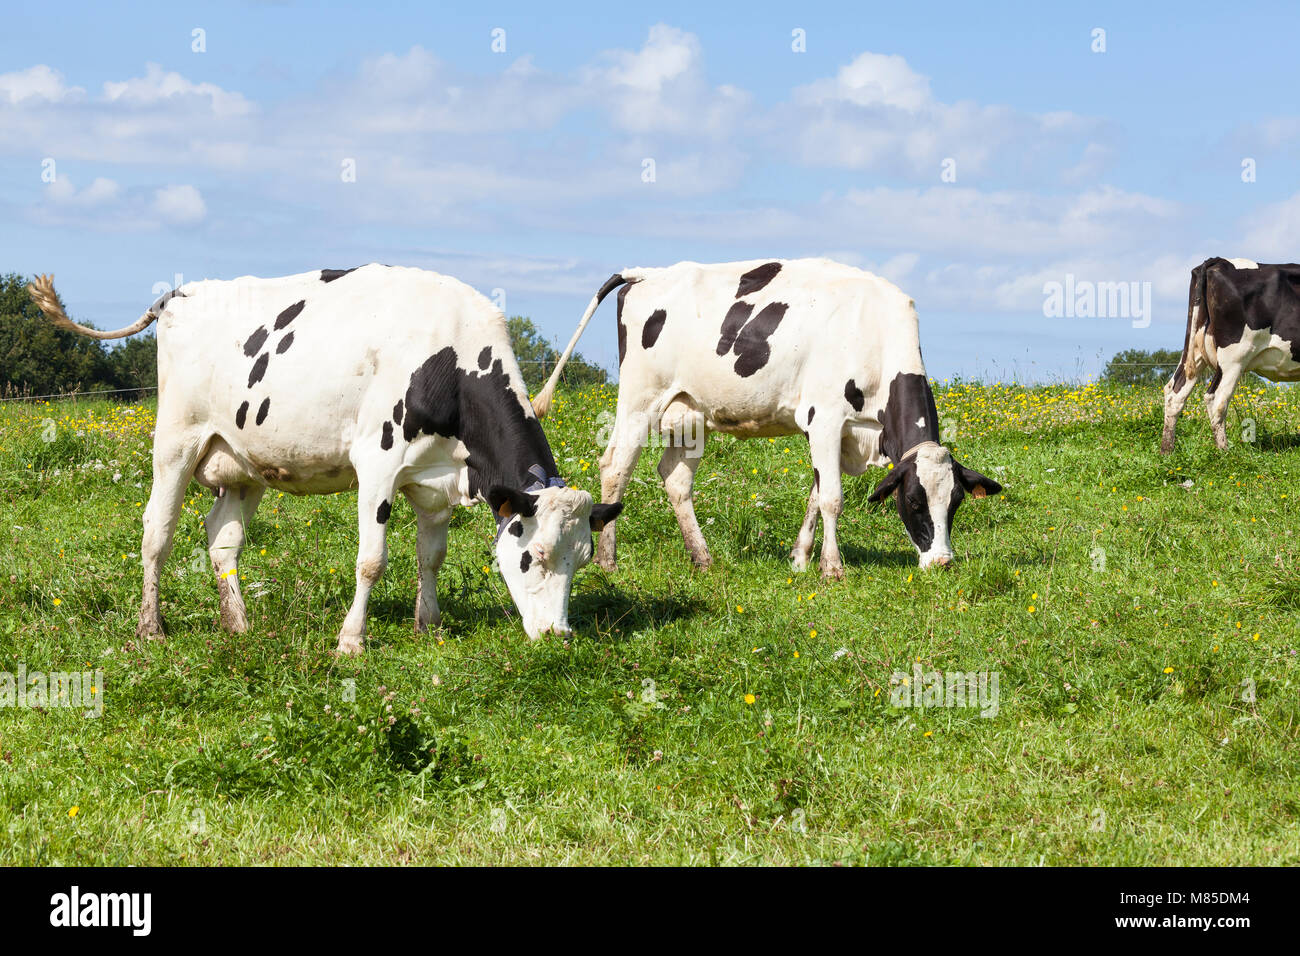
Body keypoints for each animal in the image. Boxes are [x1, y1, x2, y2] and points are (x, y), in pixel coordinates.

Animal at [27, 266, 623, 653]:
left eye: (583, 559)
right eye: (535, 556)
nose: (559, 637)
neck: (452, 360)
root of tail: (179, 294)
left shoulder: (437, 481)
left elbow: (431, 555)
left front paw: (428, 625)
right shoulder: (379, 464)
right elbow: (372, 559)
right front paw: (351, 640)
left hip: (243, 463)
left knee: (222, 537)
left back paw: (237, 624)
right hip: (175, 441)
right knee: (157, 531)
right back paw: (151, 627)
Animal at [530, 258, 1001, 577]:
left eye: (955, 502)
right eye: (914, 501)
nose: (942, 562)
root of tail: (644, 273)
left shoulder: (834, 431)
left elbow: (815, 495)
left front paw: (800, 559)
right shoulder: (825, 418)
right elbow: (832, 498)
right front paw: (832, 568)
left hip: (689, 412)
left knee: (675, 479)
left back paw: (702, 558)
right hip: (640, 399)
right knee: (616, 467)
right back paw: (608, 561)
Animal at [1161, 257, 1300, 453]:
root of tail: (1216, 261)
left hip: (1193, 349)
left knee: (1174, 393)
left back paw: (1166, 451)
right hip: (1234, 357)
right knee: (1217, 399)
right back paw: (1224, 452)